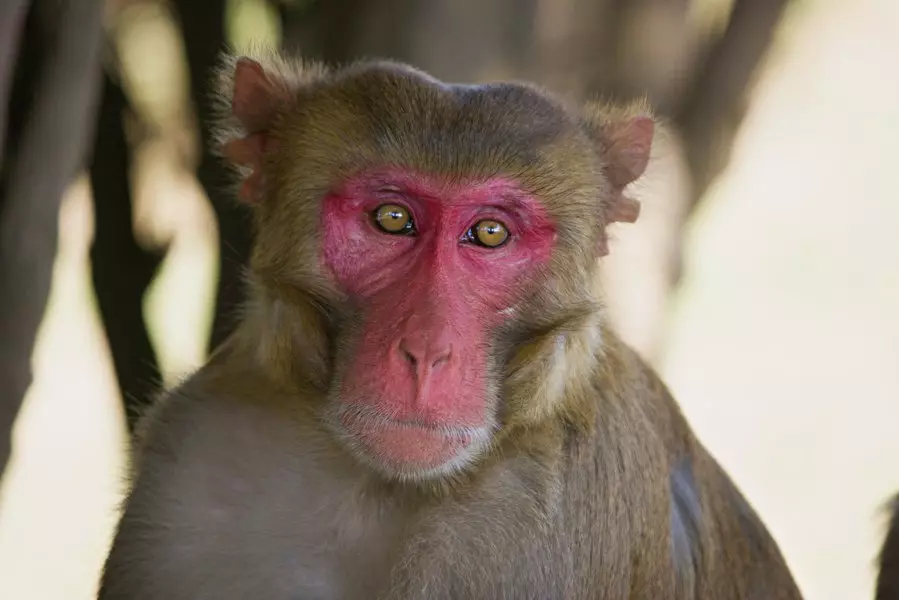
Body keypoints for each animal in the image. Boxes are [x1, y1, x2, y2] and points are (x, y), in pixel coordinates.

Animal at [96, 52, 800, 600]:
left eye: (488, 233)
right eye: (392, 219)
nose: (427, 353)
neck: (379, 486)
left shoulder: (547, 505)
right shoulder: (196, 450)